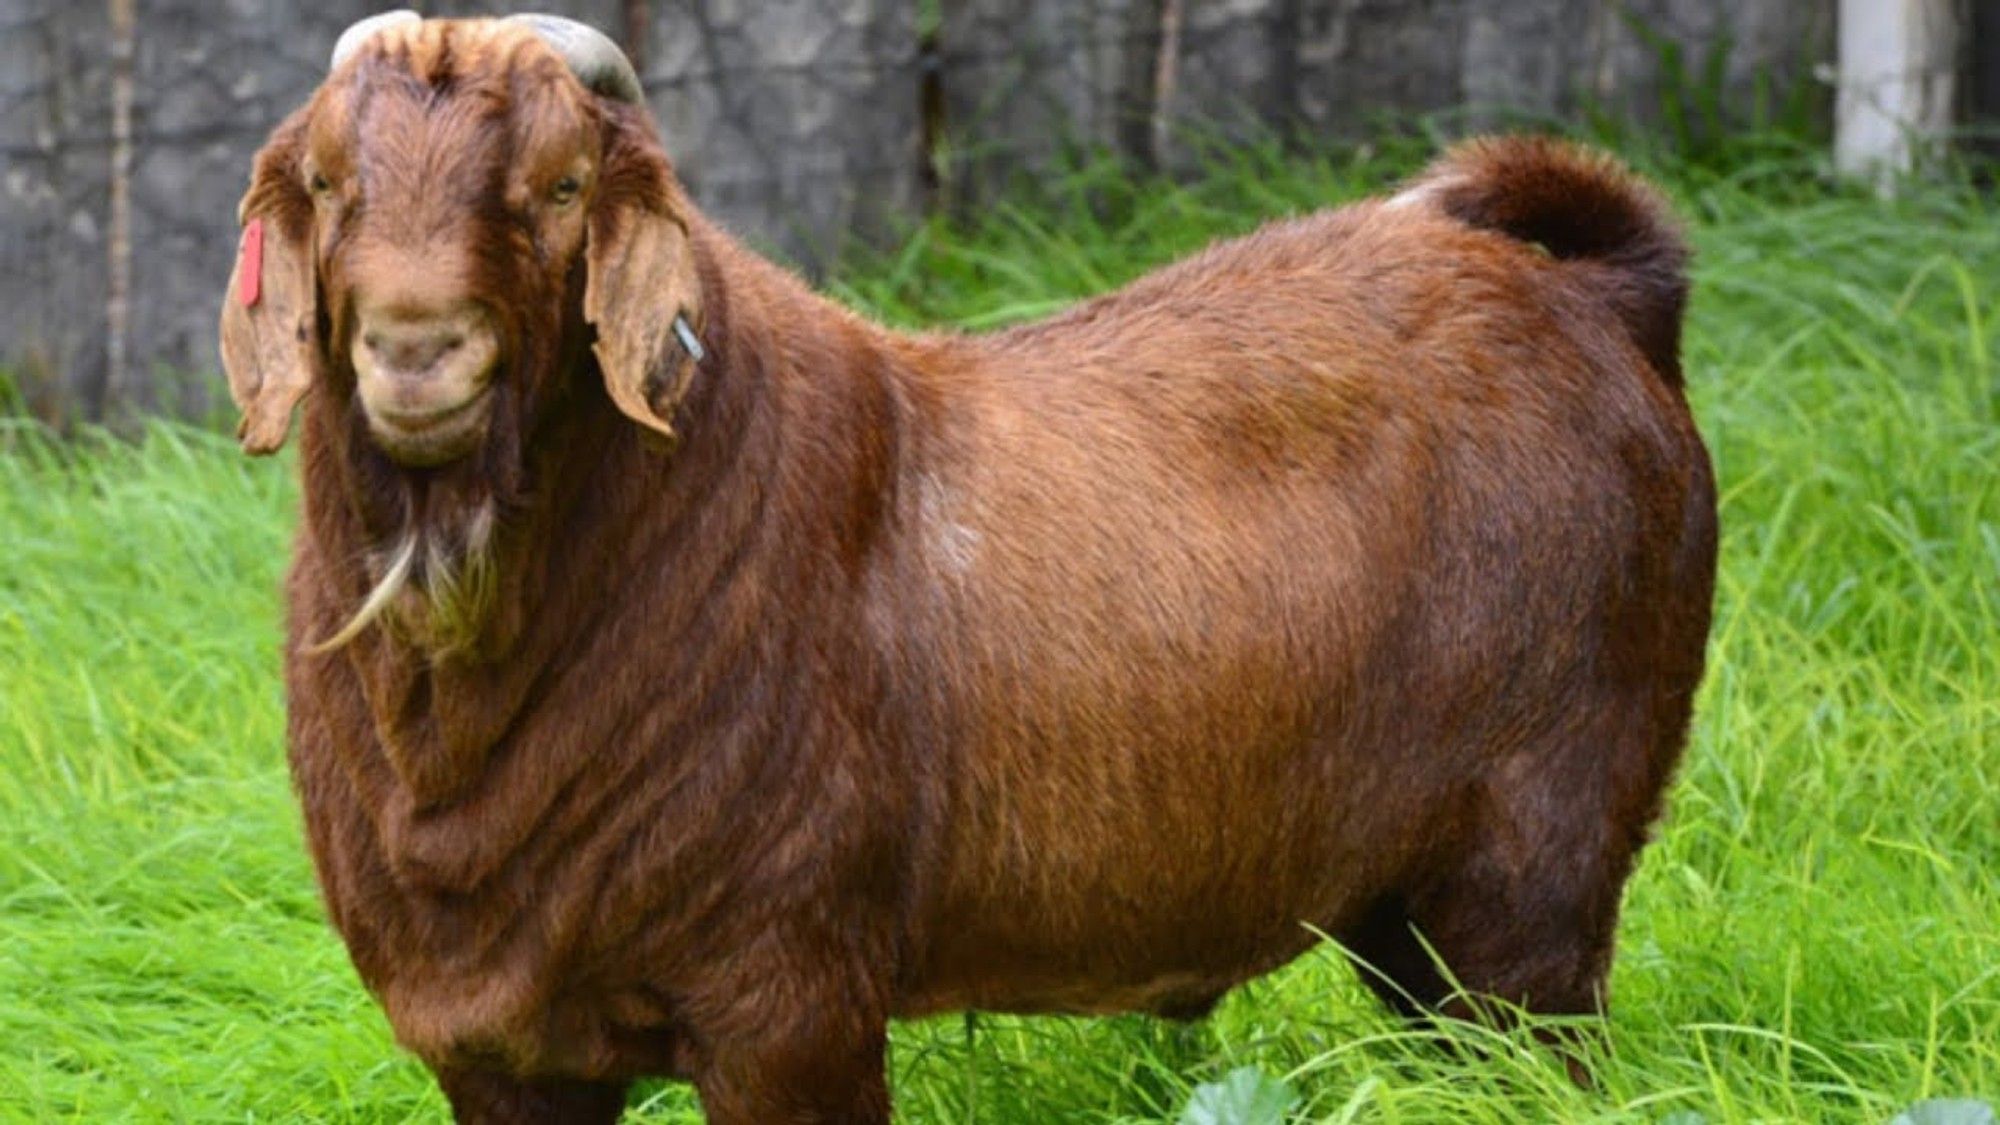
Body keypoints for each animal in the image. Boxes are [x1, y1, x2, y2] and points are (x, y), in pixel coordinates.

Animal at [219, 12, 1716, 1123]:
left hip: (1541, 849)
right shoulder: (502, 1049)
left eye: (562, 188)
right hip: (1405, 906)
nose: (419, 350)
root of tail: (1602, 297)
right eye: (329, 184)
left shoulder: (788, 998)